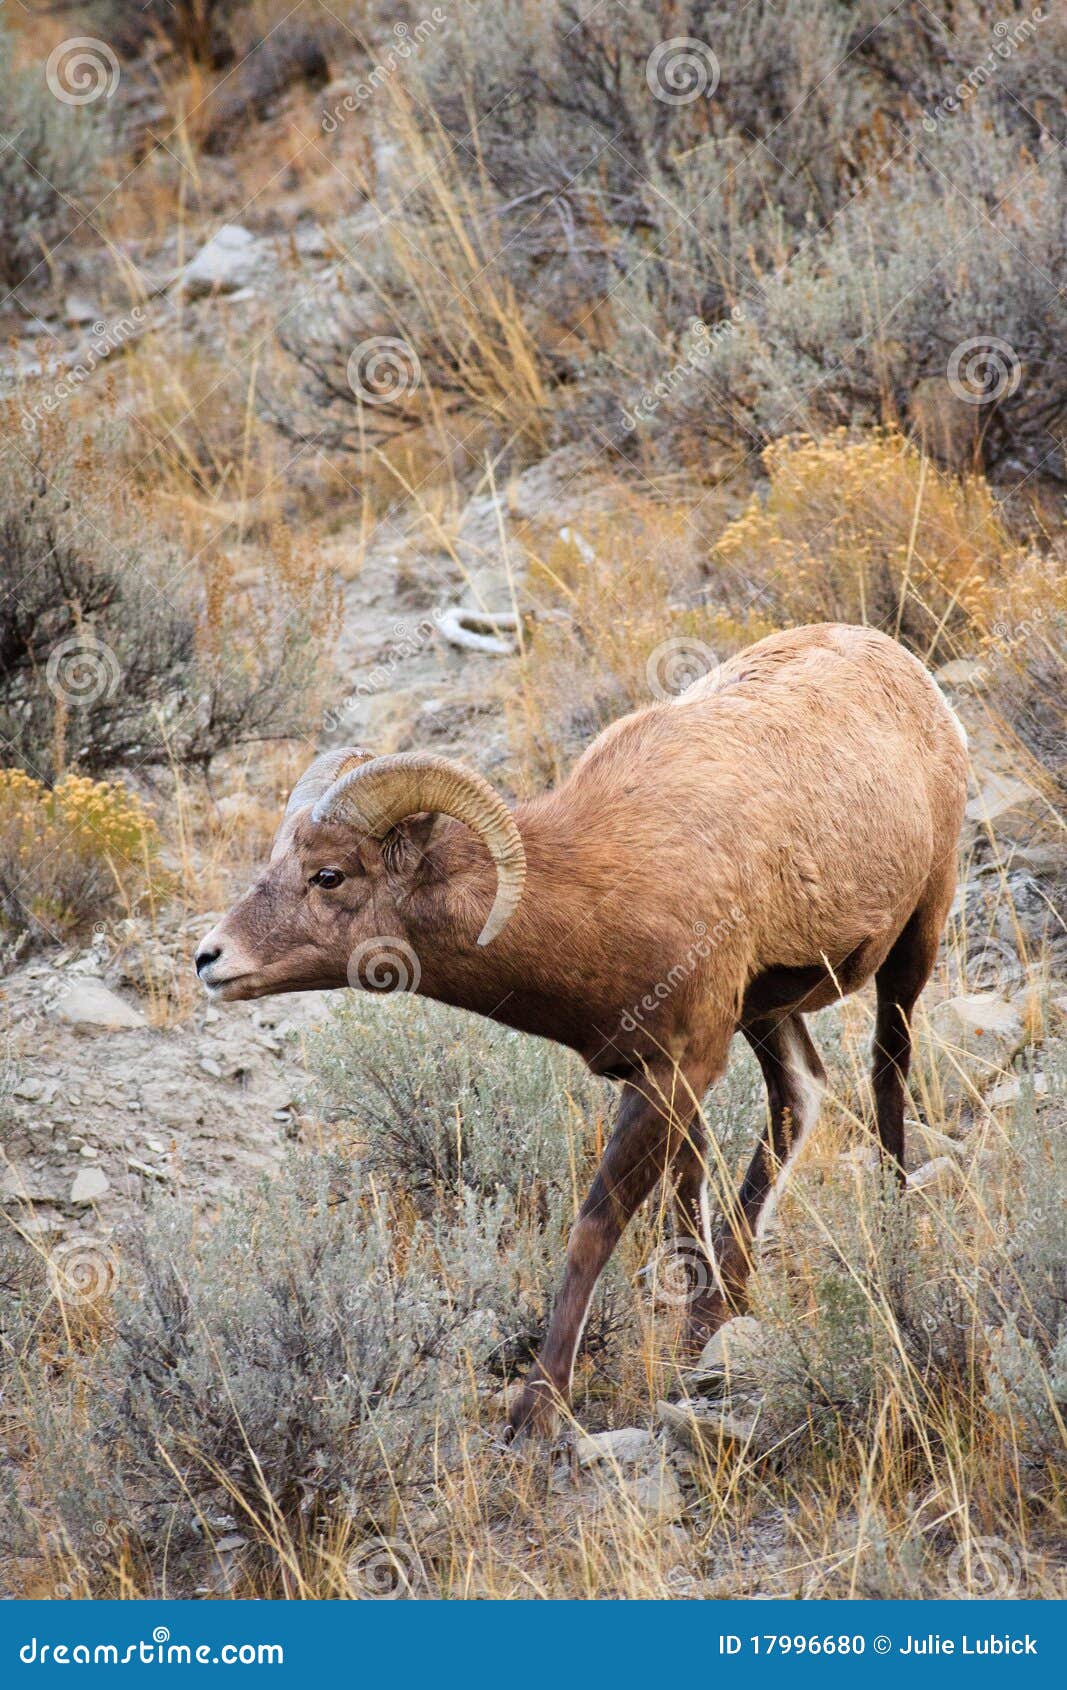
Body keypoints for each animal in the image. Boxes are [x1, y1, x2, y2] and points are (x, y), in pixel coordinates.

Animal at [196, 622, 968, 1438]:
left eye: (329, 875)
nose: (209, 960)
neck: (603, 887)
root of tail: (902, 667)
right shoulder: (661, 1071)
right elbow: (683, 1195)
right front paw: (693, 1337)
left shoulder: (676, 1072)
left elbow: (597, 1226)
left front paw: (536, 1411)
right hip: (767, 1011)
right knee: (800, 1096)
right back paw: (732, 1297)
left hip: (913, 943)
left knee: (886, 1070)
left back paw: (890, 1230)